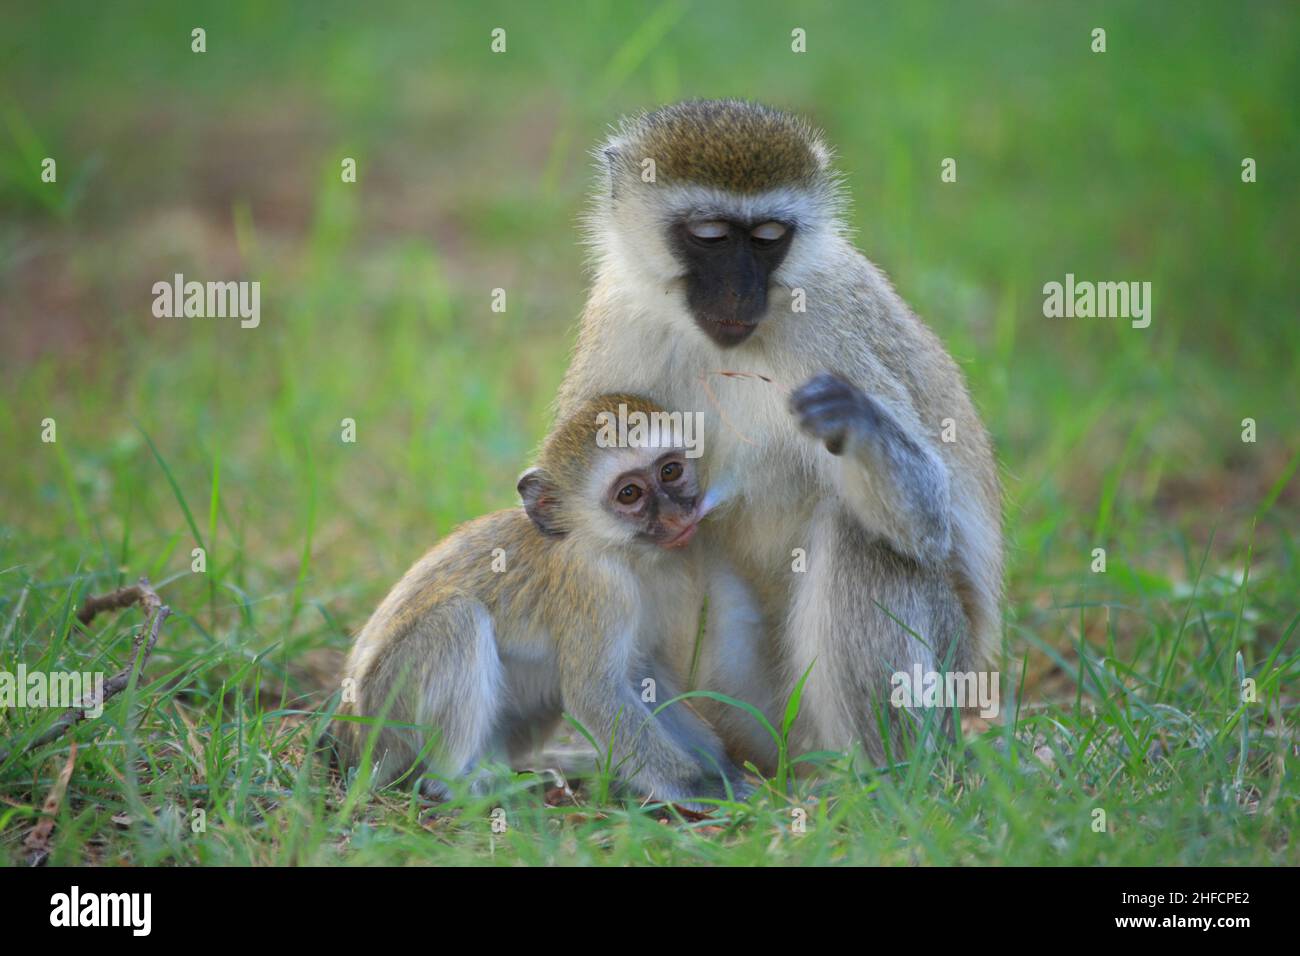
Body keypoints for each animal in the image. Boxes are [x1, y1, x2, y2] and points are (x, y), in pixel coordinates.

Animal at [338, 393, 748, 807]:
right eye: (629, 494)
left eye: (670, 471)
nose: (677, 514)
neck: (619, 551)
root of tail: (352, 742)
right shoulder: (596, 586)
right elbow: (596, 692)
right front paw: (700, 787)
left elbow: (644, 677)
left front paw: (723, 767)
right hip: (389, 715)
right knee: (459, 618)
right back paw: (465, 783)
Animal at [555, 100, 1003, 770]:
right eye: (710, 235)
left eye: (769, 237)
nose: (741, 290)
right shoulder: (617, 318)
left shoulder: (831, 325)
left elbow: (929, 518)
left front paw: (855, 417)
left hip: (944, 678)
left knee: (861, 536)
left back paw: (886, 778)